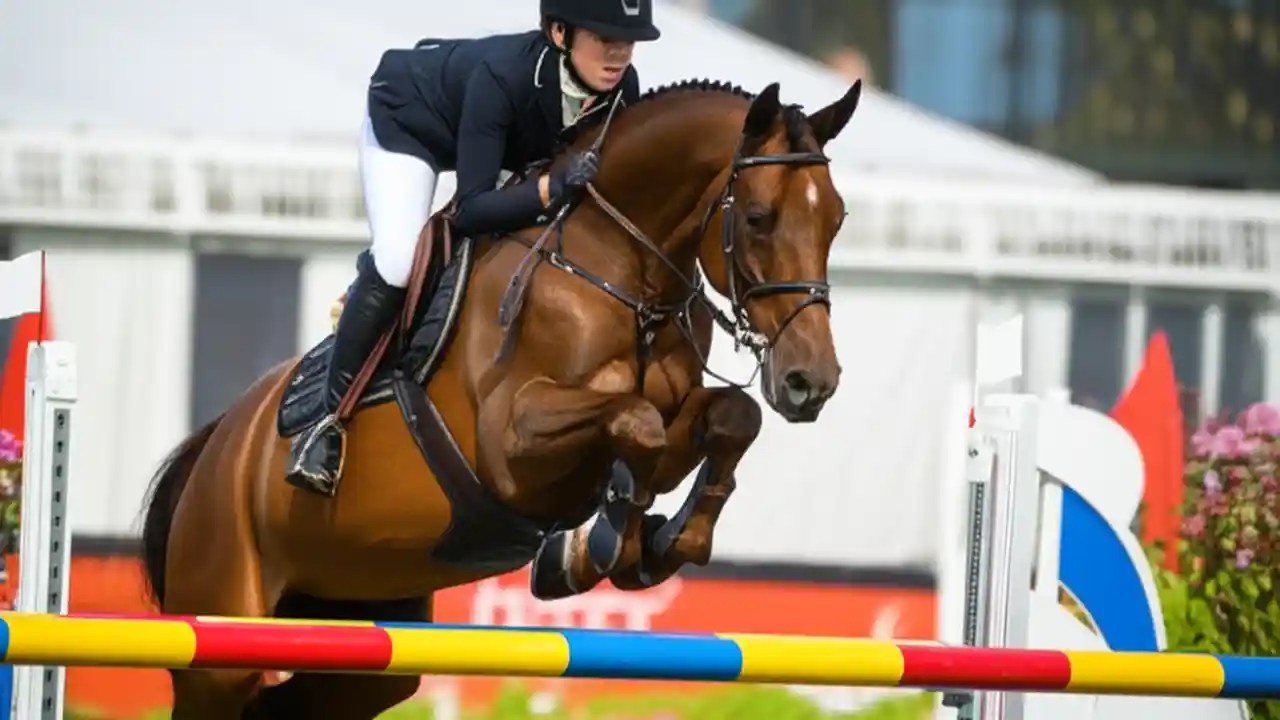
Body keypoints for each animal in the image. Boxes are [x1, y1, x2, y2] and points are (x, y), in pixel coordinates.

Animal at [138, 76, 861, 719]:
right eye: (760, 219)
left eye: (837, 220)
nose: (811, 381)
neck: (622, 276)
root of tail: (216, 444)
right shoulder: (512, 447)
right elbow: (637, 425)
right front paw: (599, 547)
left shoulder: (675, 410)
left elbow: (730, 418)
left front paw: (662, 540)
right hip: (222, 635)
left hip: (362, 634)